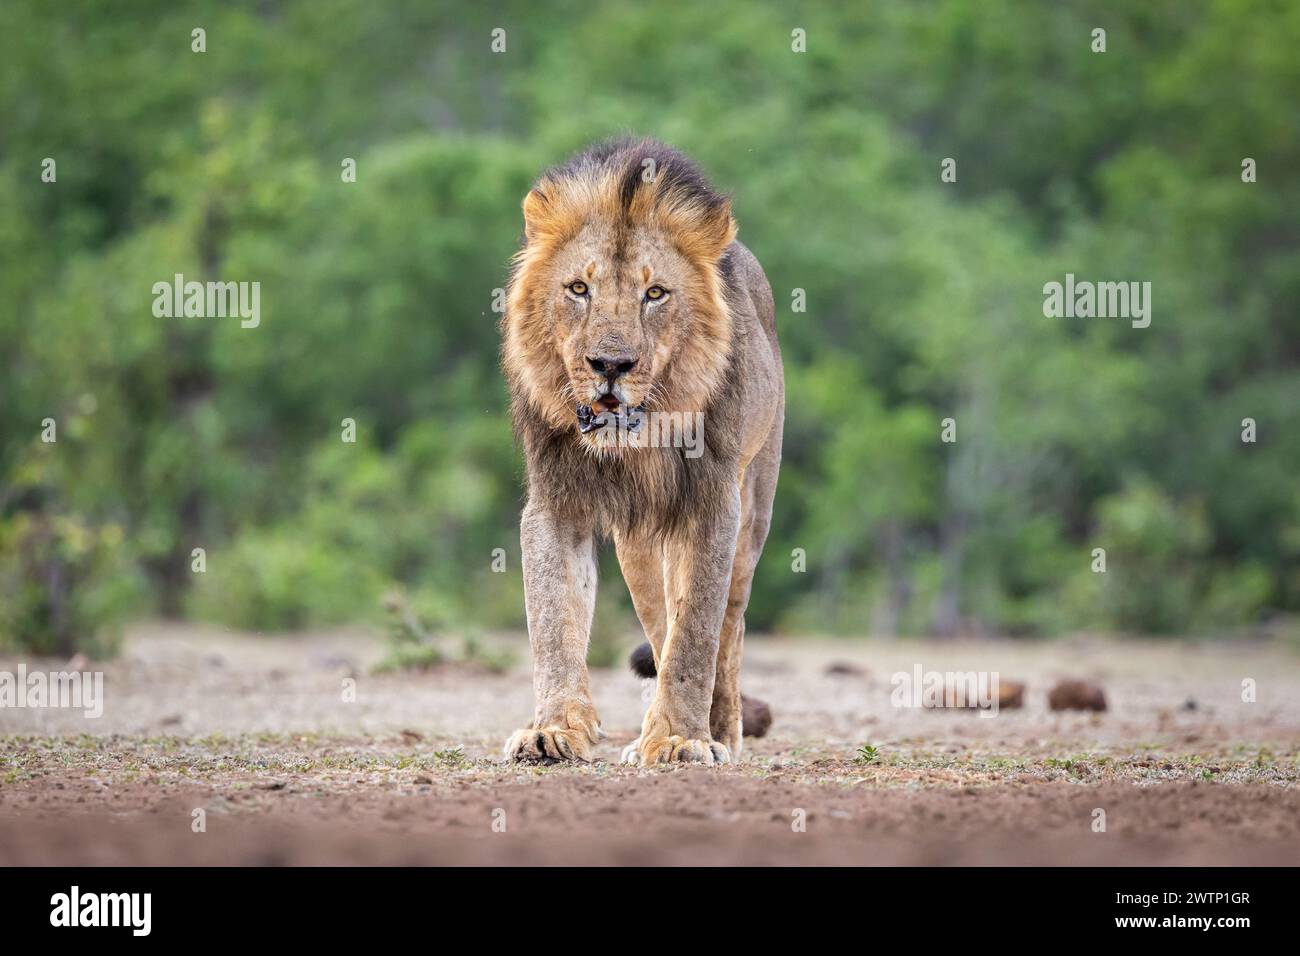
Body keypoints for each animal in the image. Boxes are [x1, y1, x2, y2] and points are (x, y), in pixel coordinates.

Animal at [500, 138, 783, 765]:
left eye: (655, 294)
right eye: (578, 289)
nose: (610, 365)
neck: (638, 445)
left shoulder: (714, 505)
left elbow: (697, 634)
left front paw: (681, 739)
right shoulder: (555, 504)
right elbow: (553, 620)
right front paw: (552, 730)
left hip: (754, 509)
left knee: (728, 628)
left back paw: (720, 730)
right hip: (639, 550)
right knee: (660, 625)